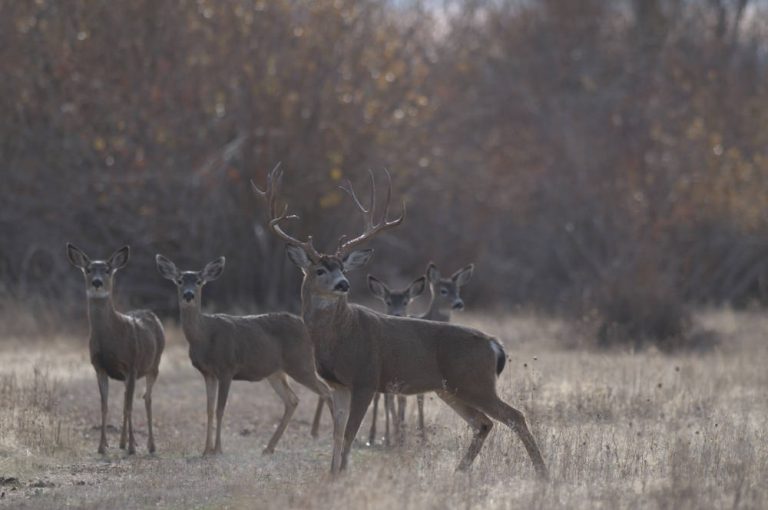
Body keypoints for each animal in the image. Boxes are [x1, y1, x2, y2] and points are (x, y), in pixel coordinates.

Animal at [66, 244, 165, 455]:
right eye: (88, 269)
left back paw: (150, 445)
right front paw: (102, 446)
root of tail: (151, 314)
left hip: (154, 365)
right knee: (130, 399)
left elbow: (129, 406)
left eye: (107, 270)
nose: (97, 282)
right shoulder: (99, 367)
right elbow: (105, 406)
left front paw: (132, 447)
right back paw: (122, 443)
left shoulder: (132, 365)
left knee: (146, 398)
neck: (110, 339)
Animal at [155, 254, 333, 455]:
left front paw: (218, 449)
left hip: (301, 363)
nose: (188, 295)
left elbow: (220, 409)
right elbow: (209, 409)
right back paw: (268, 448)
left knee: (326, 391)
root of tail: (308, 328)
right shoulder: (208, 373)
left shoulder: (227, 368)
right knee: (293, 400)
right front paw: (206, 450)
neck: (204, 336)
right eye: (179, 281)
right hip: (276, 372)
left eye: (199, 282)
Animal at [252, 167, 548, 478]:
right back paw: (460, 471)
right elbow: (337, 432)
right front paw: (332, 475)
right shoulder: (338, 384)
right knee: (483, 422)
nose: (344, 284)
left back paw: (542, 473)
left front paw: (343, 474)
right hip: (449, 388)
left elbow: (350, 433)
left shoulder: (366, 378)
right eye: (320, 270)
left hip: (474, 381)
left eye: (343, 268)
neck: (339, 337)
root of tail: (494, 344)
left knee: (514, 416)